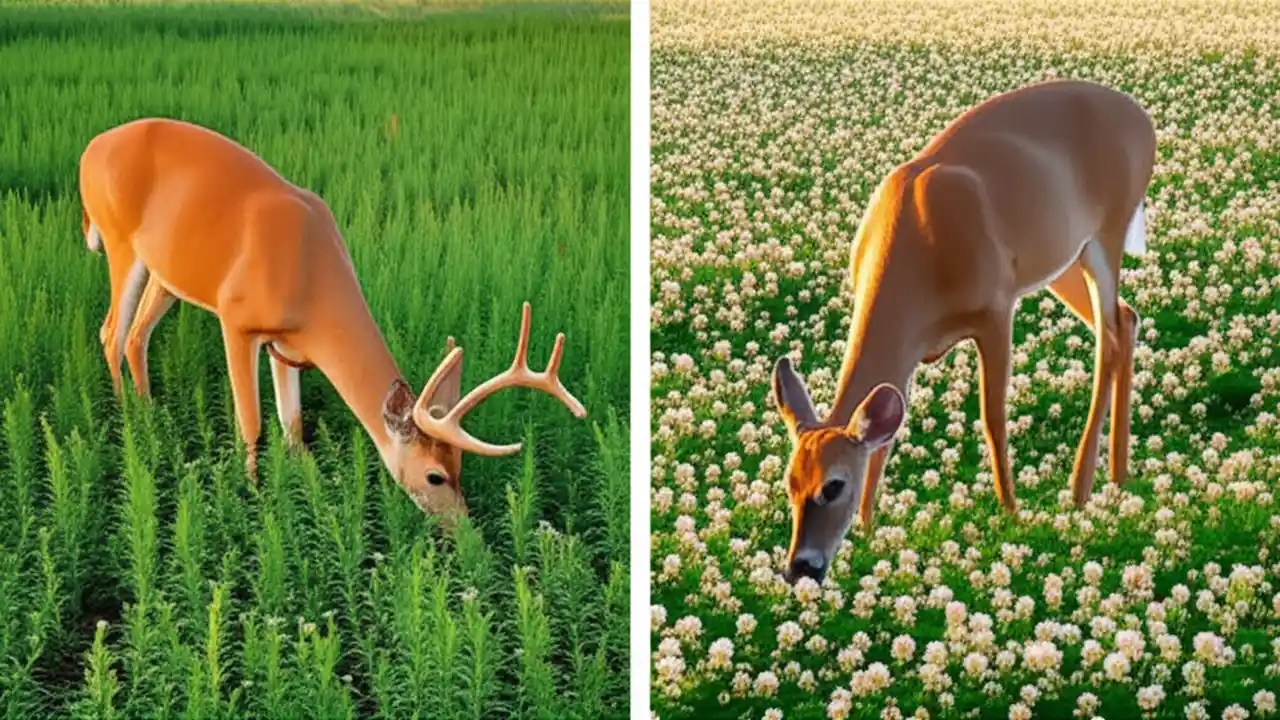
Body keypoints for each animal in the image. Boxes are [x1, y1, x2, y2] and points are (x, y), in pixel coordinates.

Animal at [79, 117, 587, 518]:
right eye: (435, 475)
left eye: (460, 465)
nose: (463, 530)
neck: (310, 278)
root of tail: (90, 148)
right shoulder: (236, 320)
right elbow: (252, 423)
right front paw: (253, 497)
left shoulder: (284, 346)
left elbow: (294, 427)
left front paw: (310, 489)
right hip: (119, 241)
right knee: (110, 331)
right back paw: (127, 420)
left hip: (166, 274)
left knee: (136, 336)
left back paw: (149, 413)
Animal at [772, 80, 1156, 584]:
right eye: (790, 483)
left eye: (834, 486)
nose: (800, 567)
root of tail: (1142, 119)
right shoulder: (909, 349)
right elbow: (886, 433)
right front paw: (871, 529)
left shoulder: (996, 308)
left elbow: (992, 417)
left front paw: (1011, 511)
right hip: (1063, 259)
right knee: (1126, 321)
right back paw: (1118, 474)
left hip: (1105, 233)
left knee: (1109, 334)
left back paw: (1081, 485)